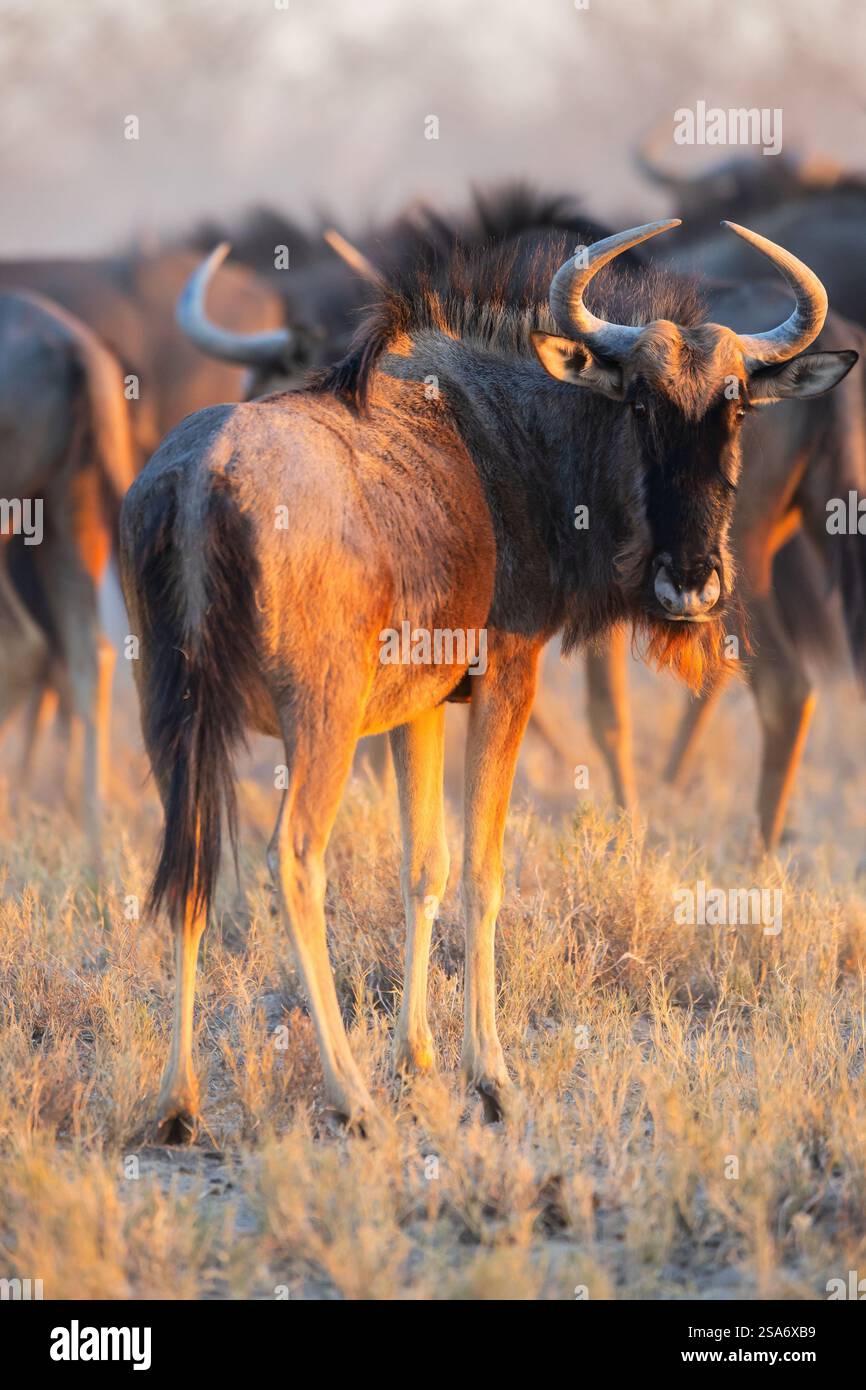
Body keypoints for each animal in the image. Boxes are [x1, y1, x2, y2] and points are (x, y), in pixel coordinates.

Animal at [120, 220, 855, 1141]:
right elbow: (483, 871)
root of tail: (199, 478)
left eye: (738, 407)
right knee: (293, 860)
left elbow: (424, 865)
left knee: (186, 870)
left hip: (174, 721)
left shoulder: (419, 710)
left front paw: (419, 1059)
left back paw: (176, 1104)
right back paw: (349, 1096)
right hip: (317, 719)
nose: (691, 582)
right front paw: (489, 1076)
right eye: (640, 403)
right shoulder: (508, 681)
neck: (511, 436)